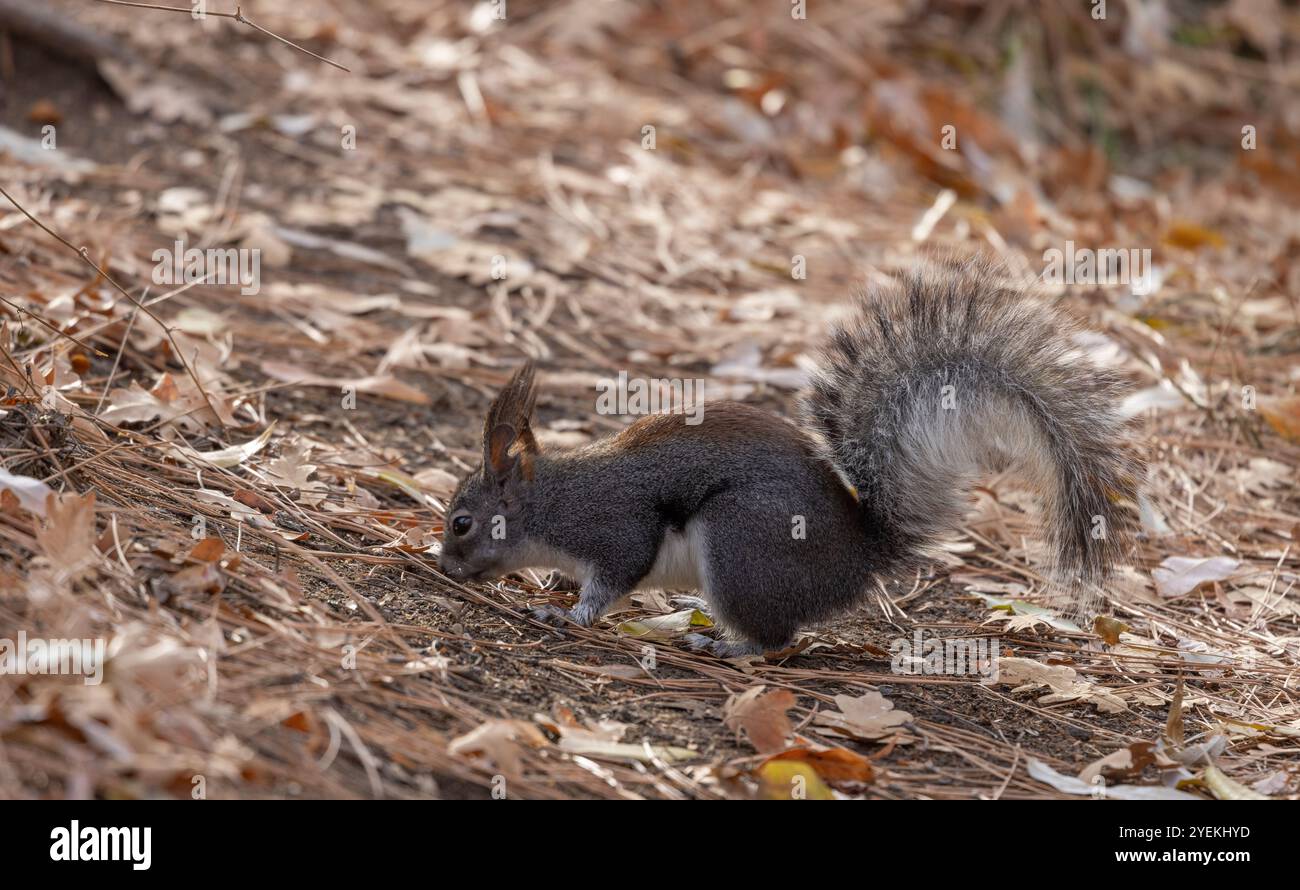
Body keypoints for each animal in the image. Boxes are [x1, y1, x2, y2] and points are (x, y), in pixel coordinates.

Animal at [438, 260, 1141, 657]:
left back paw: (730, 646)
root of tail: (857, 556)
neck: (551, 503)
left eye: (462, 523)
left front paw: (567, 611)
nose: (444, 568)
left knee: (782, 640)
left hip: (742, 542)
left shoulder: (614, 528)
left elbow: (614, 575)